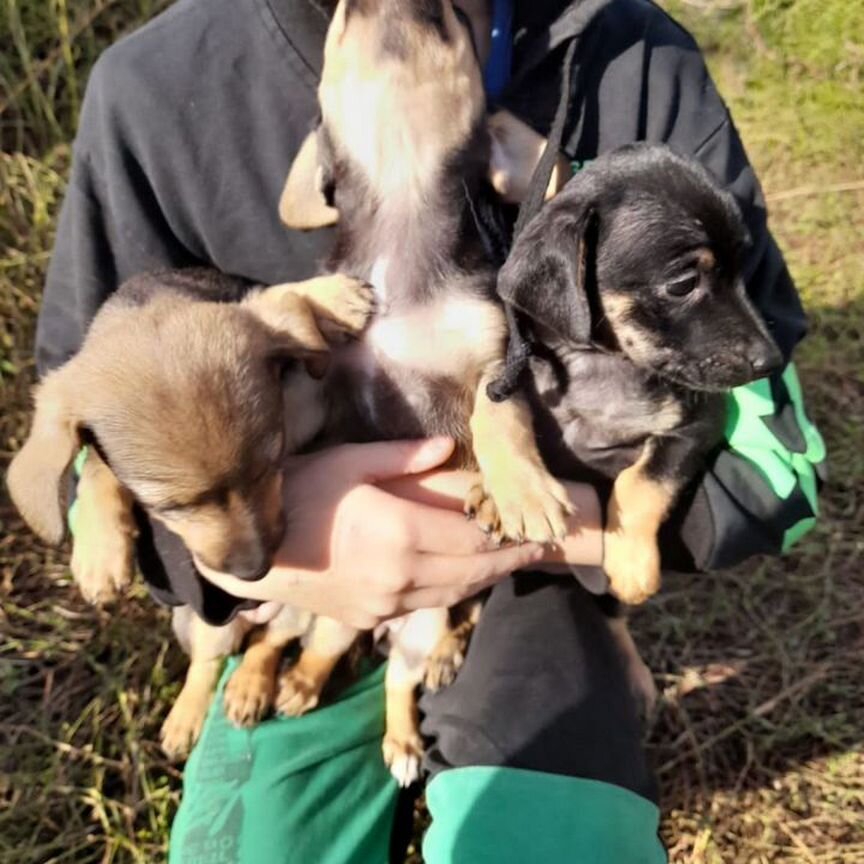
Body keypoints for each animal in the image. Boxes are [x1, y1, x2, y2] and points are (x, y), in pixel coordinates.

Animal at [5, 268, 374, 756]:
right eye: (171, 507)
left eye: (273, 463)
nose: (255, 571)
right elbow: (100, 469)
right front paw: (99, 556)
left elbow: (278, 301)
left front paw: (333, 297)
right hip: (204, 622)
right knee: (210, 660)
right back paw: (189, 716)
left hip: (310, 618)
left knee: (272, 643)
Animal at [496, 142, 788, 604]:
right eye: (684, 283)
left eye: (744, 268)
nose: (773, 361)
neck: (602, 367)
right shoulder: (507, 375)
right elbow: (498, 414)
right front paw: (521, 494)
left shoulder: (696, 425)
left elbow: (641, 483)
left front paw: (631, 565)